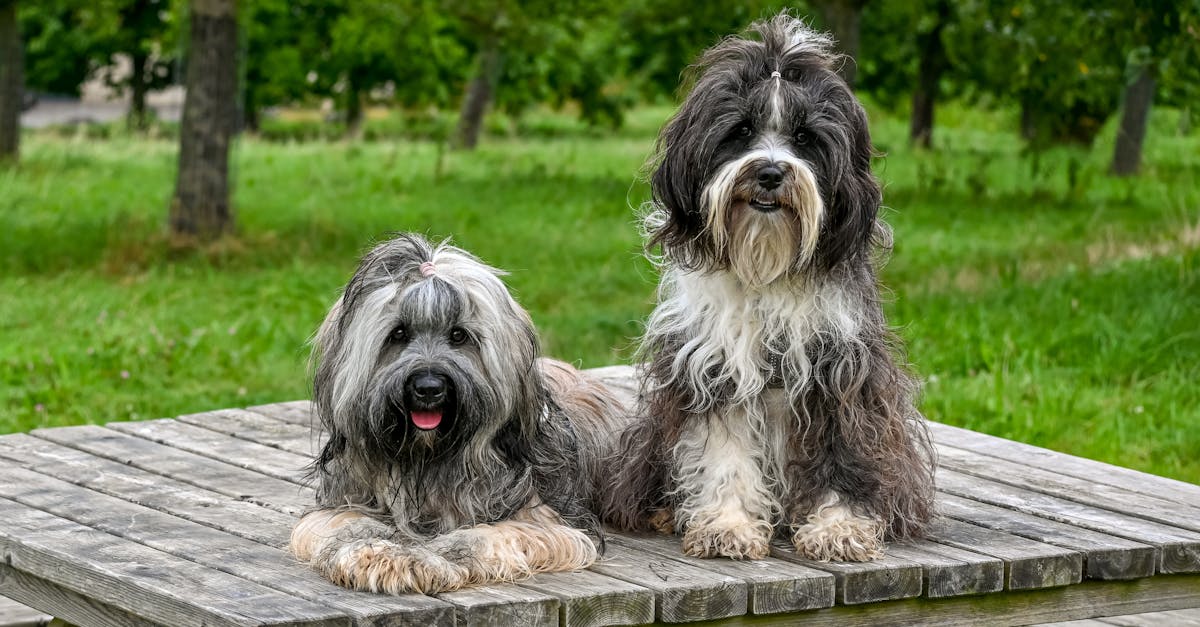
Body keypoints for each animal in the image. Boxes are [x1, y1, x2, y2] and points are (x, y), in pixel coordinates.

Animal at [290, 231, 628, 593]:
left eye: (458, 335)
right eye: (399, 333)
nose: (428, 388)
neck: (429, 460)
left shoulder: (547, 520)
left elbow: (483, 537)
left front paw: (426, 560)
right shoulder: (344, 501)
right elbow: (344, 523)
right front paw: (374, 554)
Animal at [604, 14, 931, 562]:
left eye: (804, 137)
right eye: (740, 132)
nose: (772, 172)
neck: (766, 270)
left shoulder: (839, 373)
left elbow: (841, 451)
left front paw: (838, 526)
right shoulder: (717, 366)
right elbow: (725, 453)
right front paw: (727, 525)